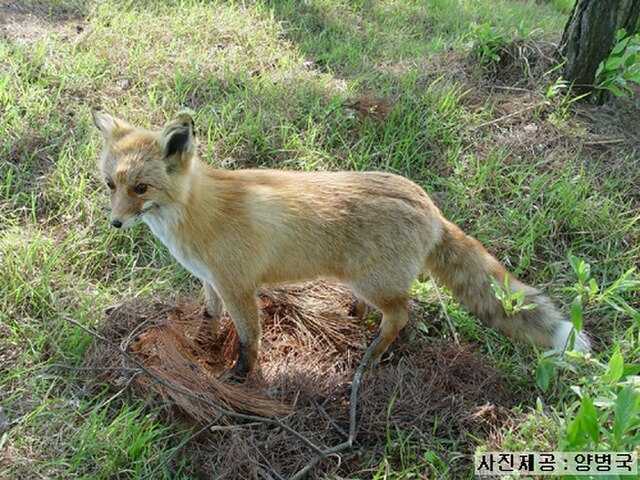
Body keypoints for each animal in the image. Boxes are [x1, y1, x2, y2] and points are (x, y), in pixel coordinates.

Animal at [93, 109, 590, 379]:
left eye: (141, 188)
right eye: (110, 185)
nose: (115, 223)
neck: (199, 215)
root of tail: (428, 205)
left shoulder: (240, 289)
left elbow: (249, 340)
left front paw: (241, 375)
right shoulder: (213, 282)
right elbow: (210, 316)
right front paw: (203, 338)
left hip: (378, 284)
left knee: (402, 315)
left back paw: (373, 354)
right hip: (366, 280)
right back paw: (355, 317)